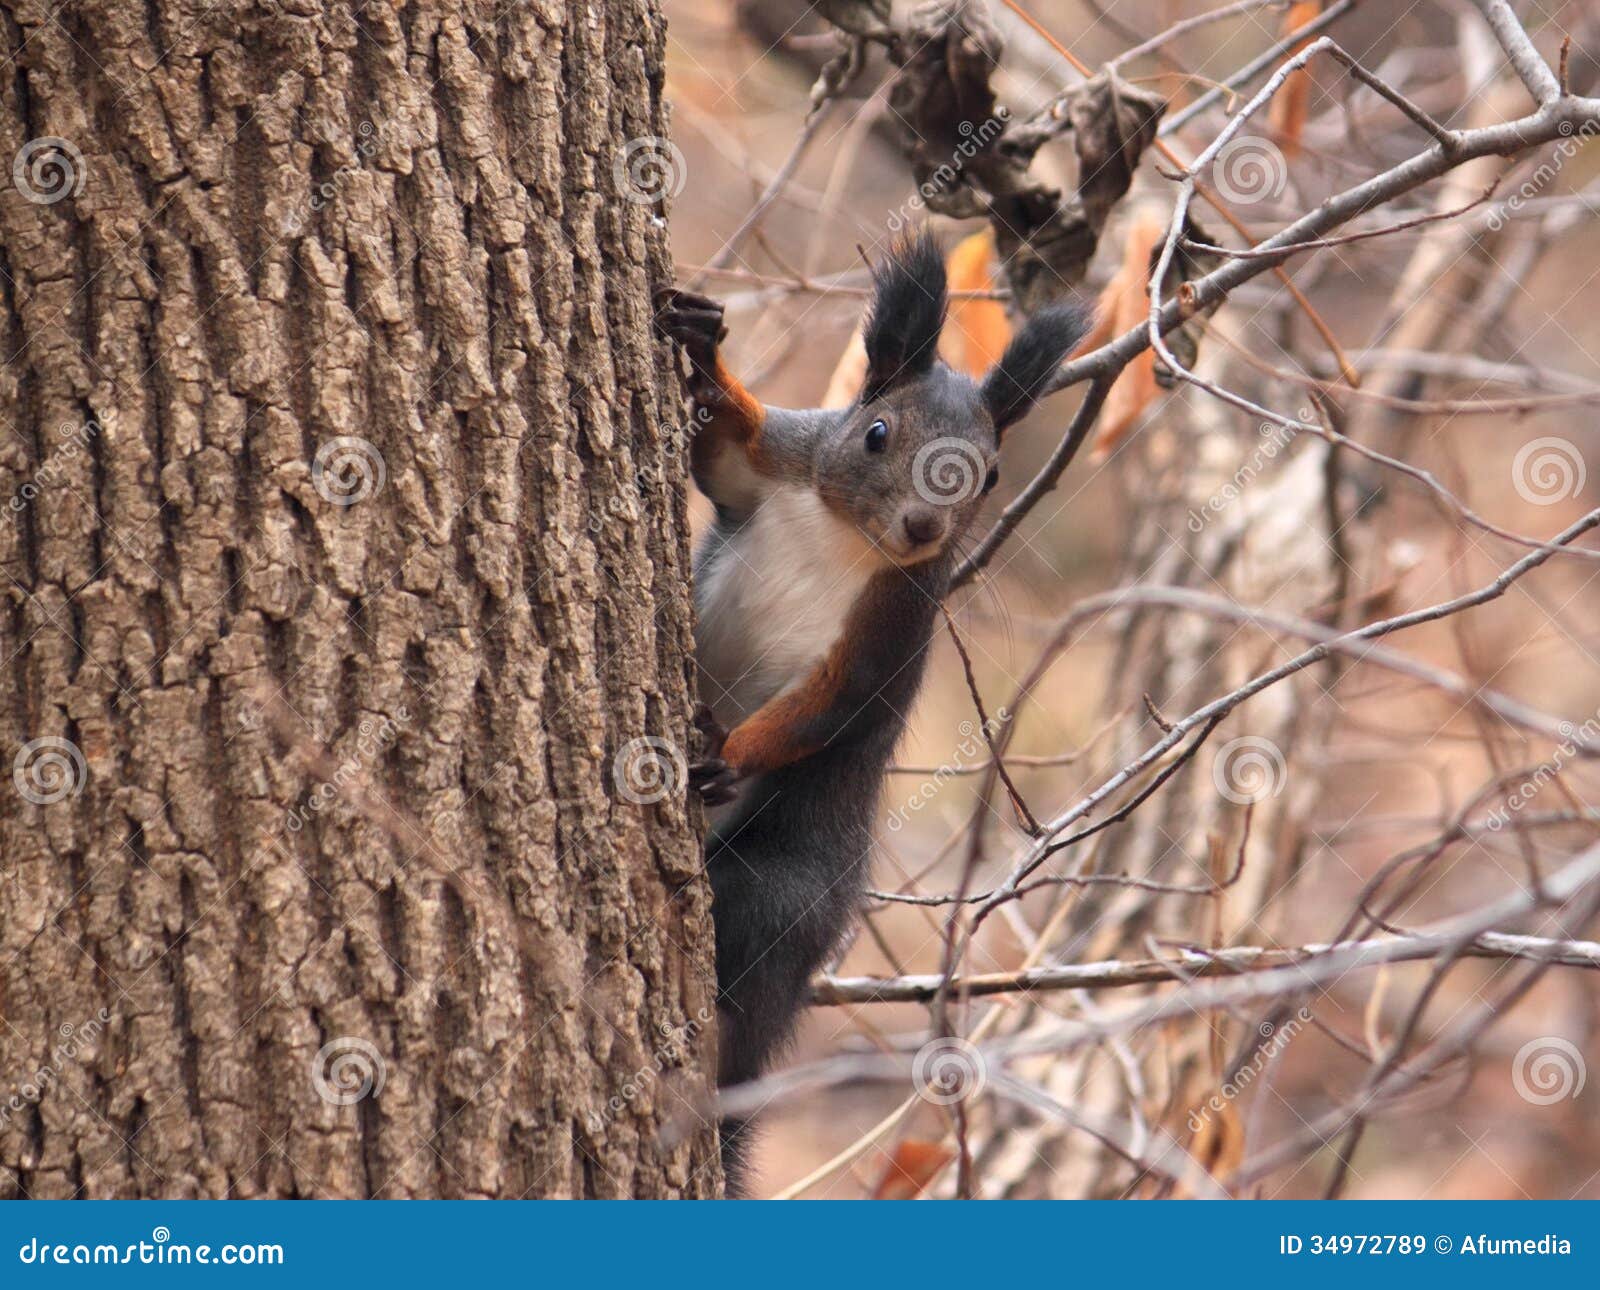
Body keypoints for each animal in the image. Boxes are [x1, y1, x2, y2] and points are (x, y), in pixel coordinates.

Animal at [655, 233, 1087, 1194]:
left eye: (990, 474)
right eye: (876, 432)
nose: (926, 526)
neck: (847, 536)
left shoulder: (894, 625)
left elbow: (827, 707)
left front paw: (730, 752)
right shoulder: (780, 462)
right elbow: (724, 448)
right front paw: (704, 347)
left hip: (784, 889)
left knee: (748, 938)